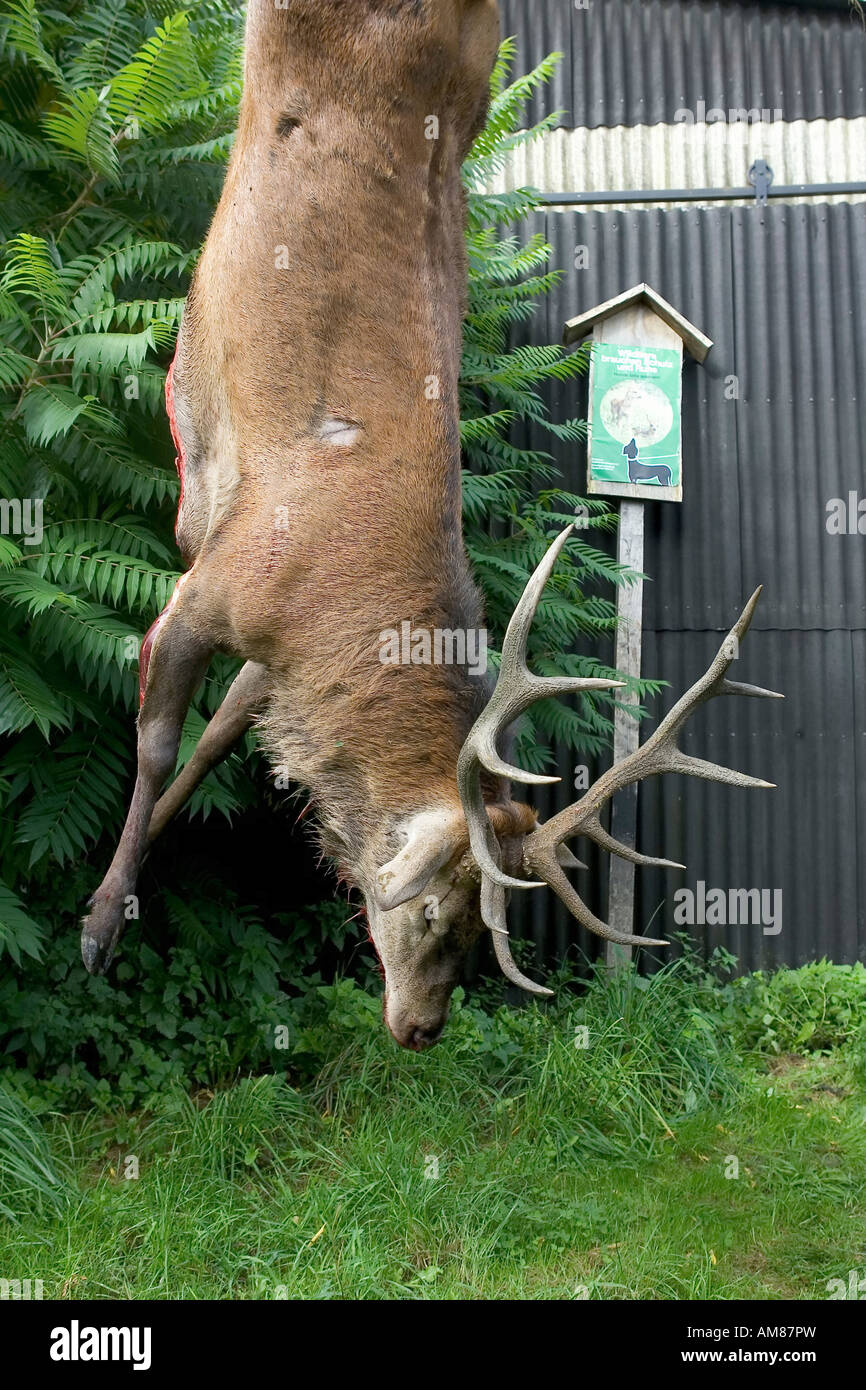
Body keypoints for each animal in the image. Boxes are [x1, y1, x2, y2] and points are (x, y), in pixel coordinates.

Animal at [81, 0, 782, 1050]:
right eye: (442, 911)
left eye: (484, 936)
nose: (422, 1030)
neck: (333, 614)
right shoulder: (219, 581)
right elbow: (160, 740)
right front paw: (98, 926)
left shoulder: (274, 661)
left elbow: (210, 747)